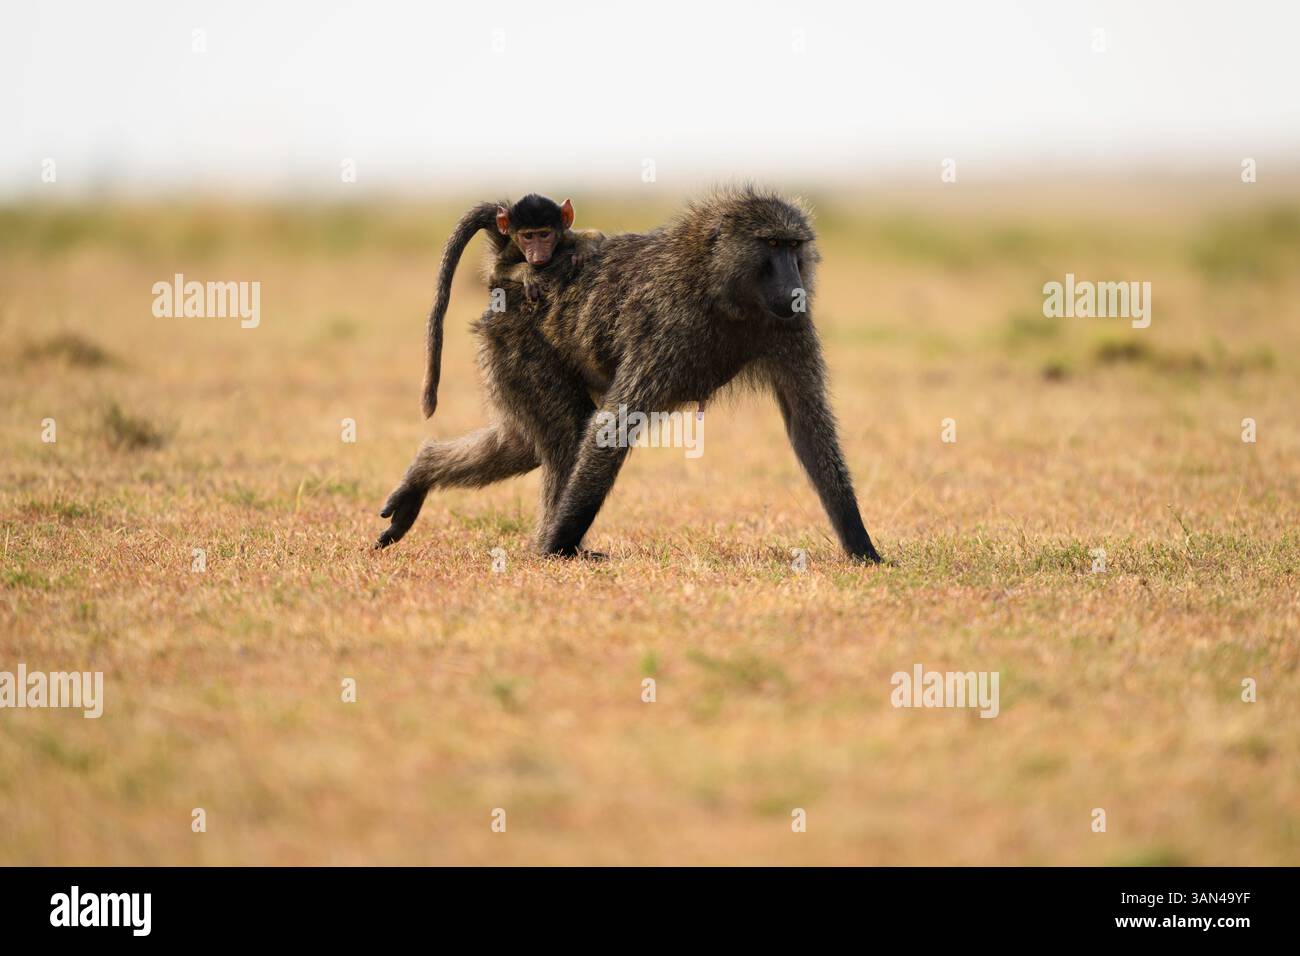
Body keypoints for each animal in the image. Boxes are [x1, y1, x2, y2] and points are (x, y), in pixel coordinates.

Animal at [419, 194, 602, 420]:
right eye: (528, 237)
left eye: (545, 234)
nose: (537, 255)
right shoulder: (513, 249)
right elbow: (496, 272)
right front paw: (527, 273)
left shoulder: (564, 237)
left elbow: (594, 235)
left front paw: (584, 247)